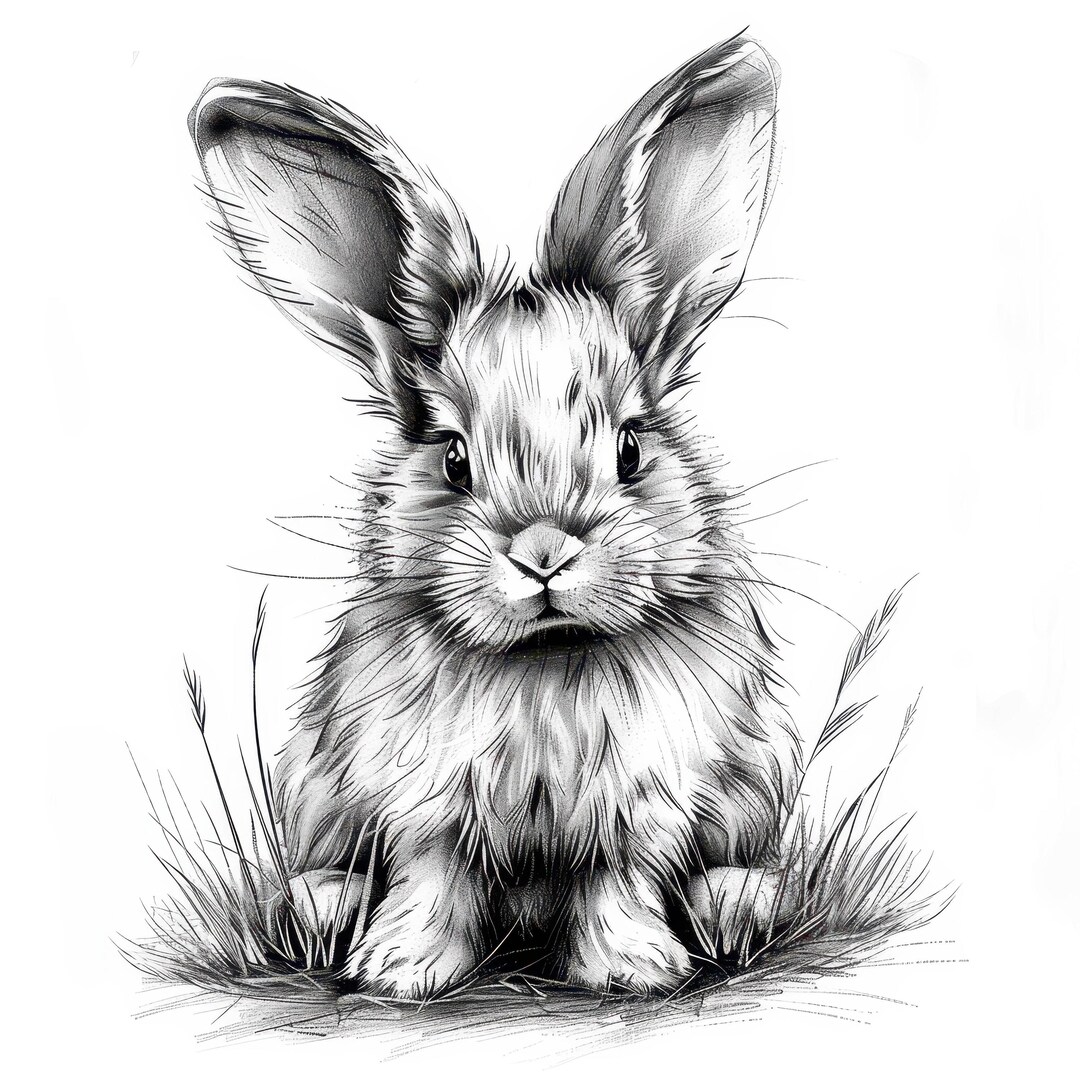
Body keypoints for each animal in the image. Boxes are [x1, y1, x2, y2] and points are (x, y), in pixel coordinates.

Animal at [188, 32, 801, 998]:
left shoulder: (639, 806)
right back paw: (322, 910)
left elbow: (615, 879)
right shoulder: (423, 803)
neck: (545, 662)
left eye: (631, 448)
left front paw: (631, 970)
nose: (543, 553)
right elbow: (433, 878)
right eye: (452, 457)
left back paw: (736, 904)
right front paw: (400, 970)